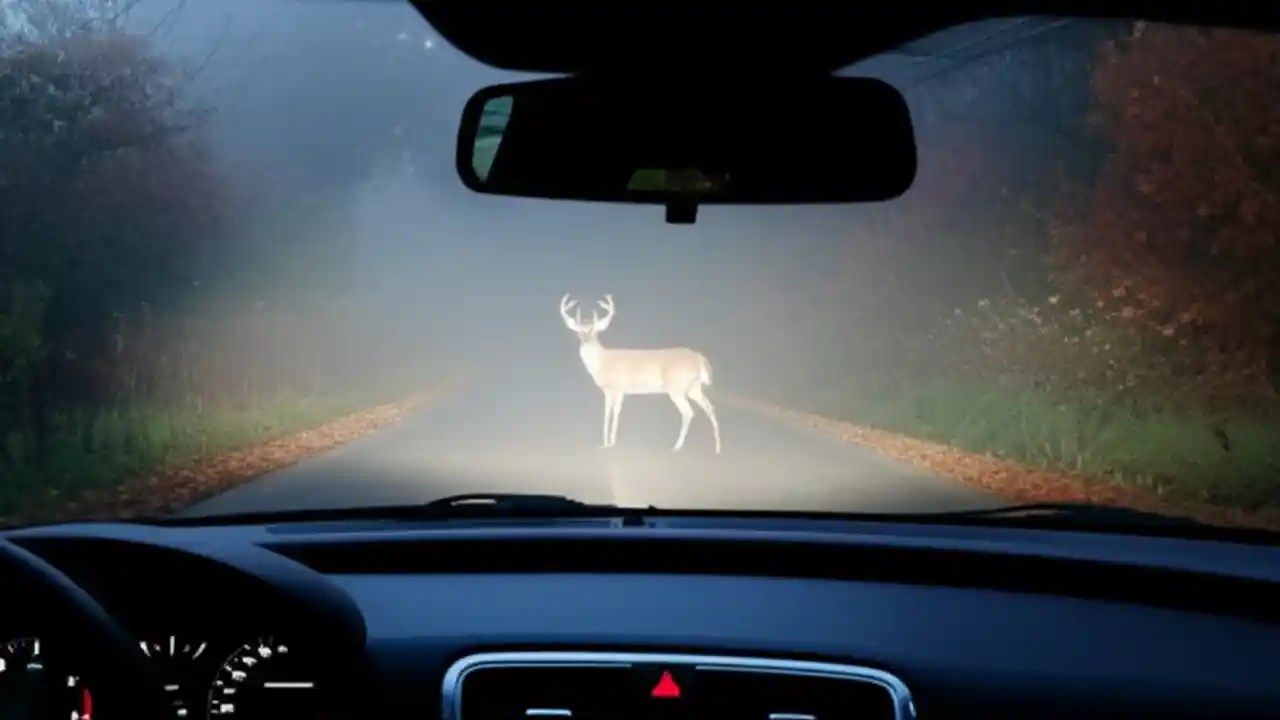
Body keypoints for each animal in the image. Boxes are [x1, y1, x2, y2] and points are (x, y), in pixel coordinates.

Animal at [559, 293, 721, 454]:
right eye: (578, 332)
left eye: (595, 331)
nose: (585, 338)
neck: (602, 361)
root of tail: (699, 357)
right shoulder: (619, 391)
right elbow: (615, 412)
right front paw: (610, 442)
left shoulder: (613, 389)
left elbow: (609, 413)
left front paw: (607, 444)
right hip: (693, 388)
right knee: (710, 408)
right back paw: (717, 448)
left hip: (677, 388)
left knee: (688, 412)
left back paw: (676, 447)